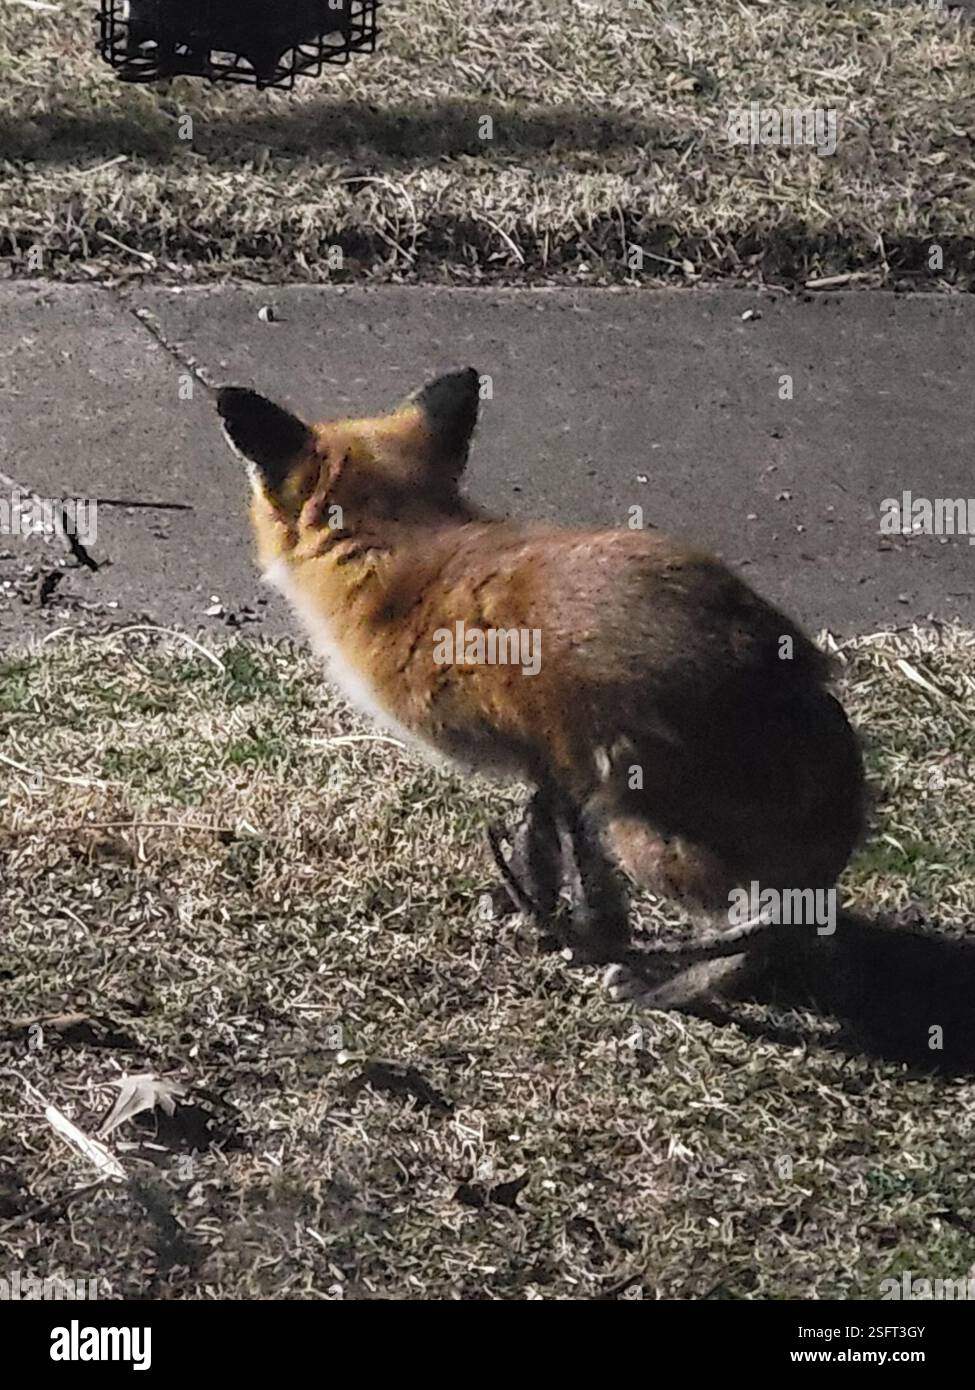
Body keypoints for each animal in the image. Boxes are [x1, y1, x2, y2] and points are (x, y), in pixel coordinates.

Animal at [217, 368, 866, 1006]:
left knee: (771, 927)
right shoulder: (548, 767)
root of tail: (793, 676)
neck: (397, 544)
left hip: (641, 831)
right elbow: (547, 851)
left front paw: (557, 930)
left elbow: (560, 868)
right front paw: (530, 912)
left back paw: (667, 991)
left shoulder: (563, 765)